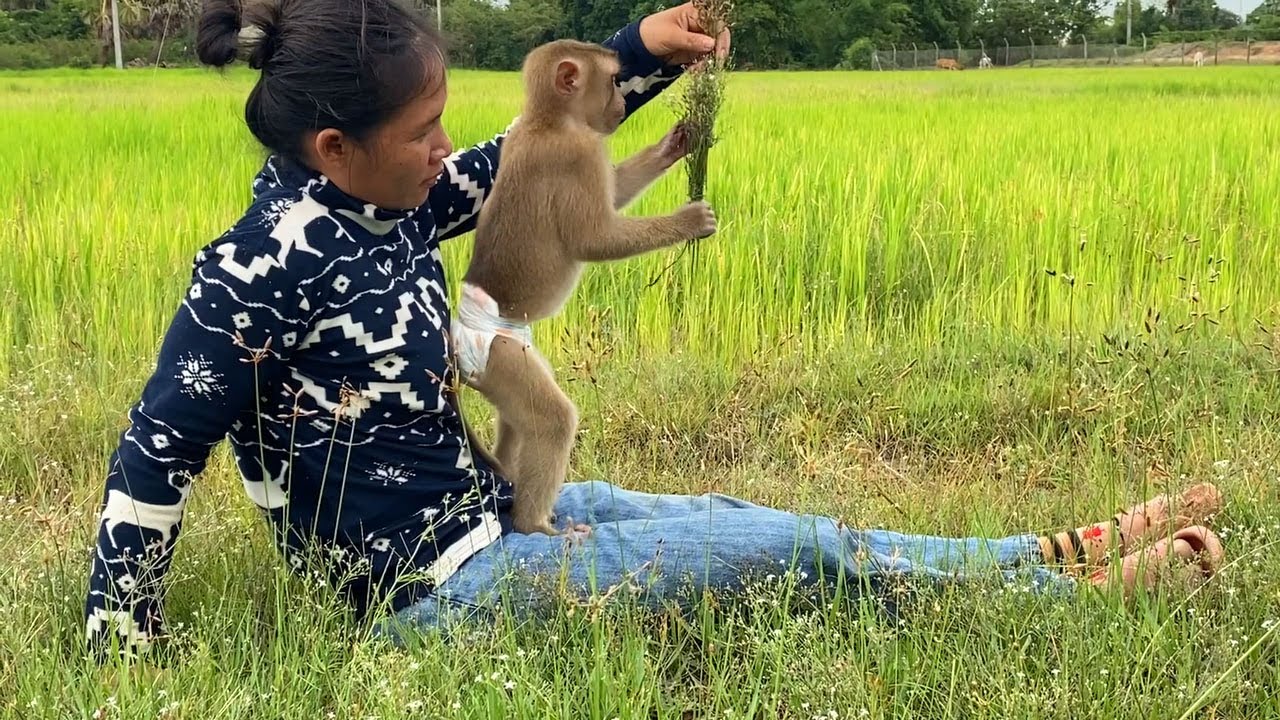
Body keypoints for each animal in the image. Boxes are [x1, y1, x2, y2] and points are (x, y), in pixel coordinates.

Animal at [450, 39, 718, 536]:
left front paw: (675, 145)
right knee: (550, 421)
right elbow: (594, 238)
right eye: (612, 80)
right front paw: (689, 221)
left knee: (517, 422)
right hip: (496, 360)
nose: (619, 104)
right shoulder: (580, 153)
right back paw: (533, 524)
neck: (548, 119)